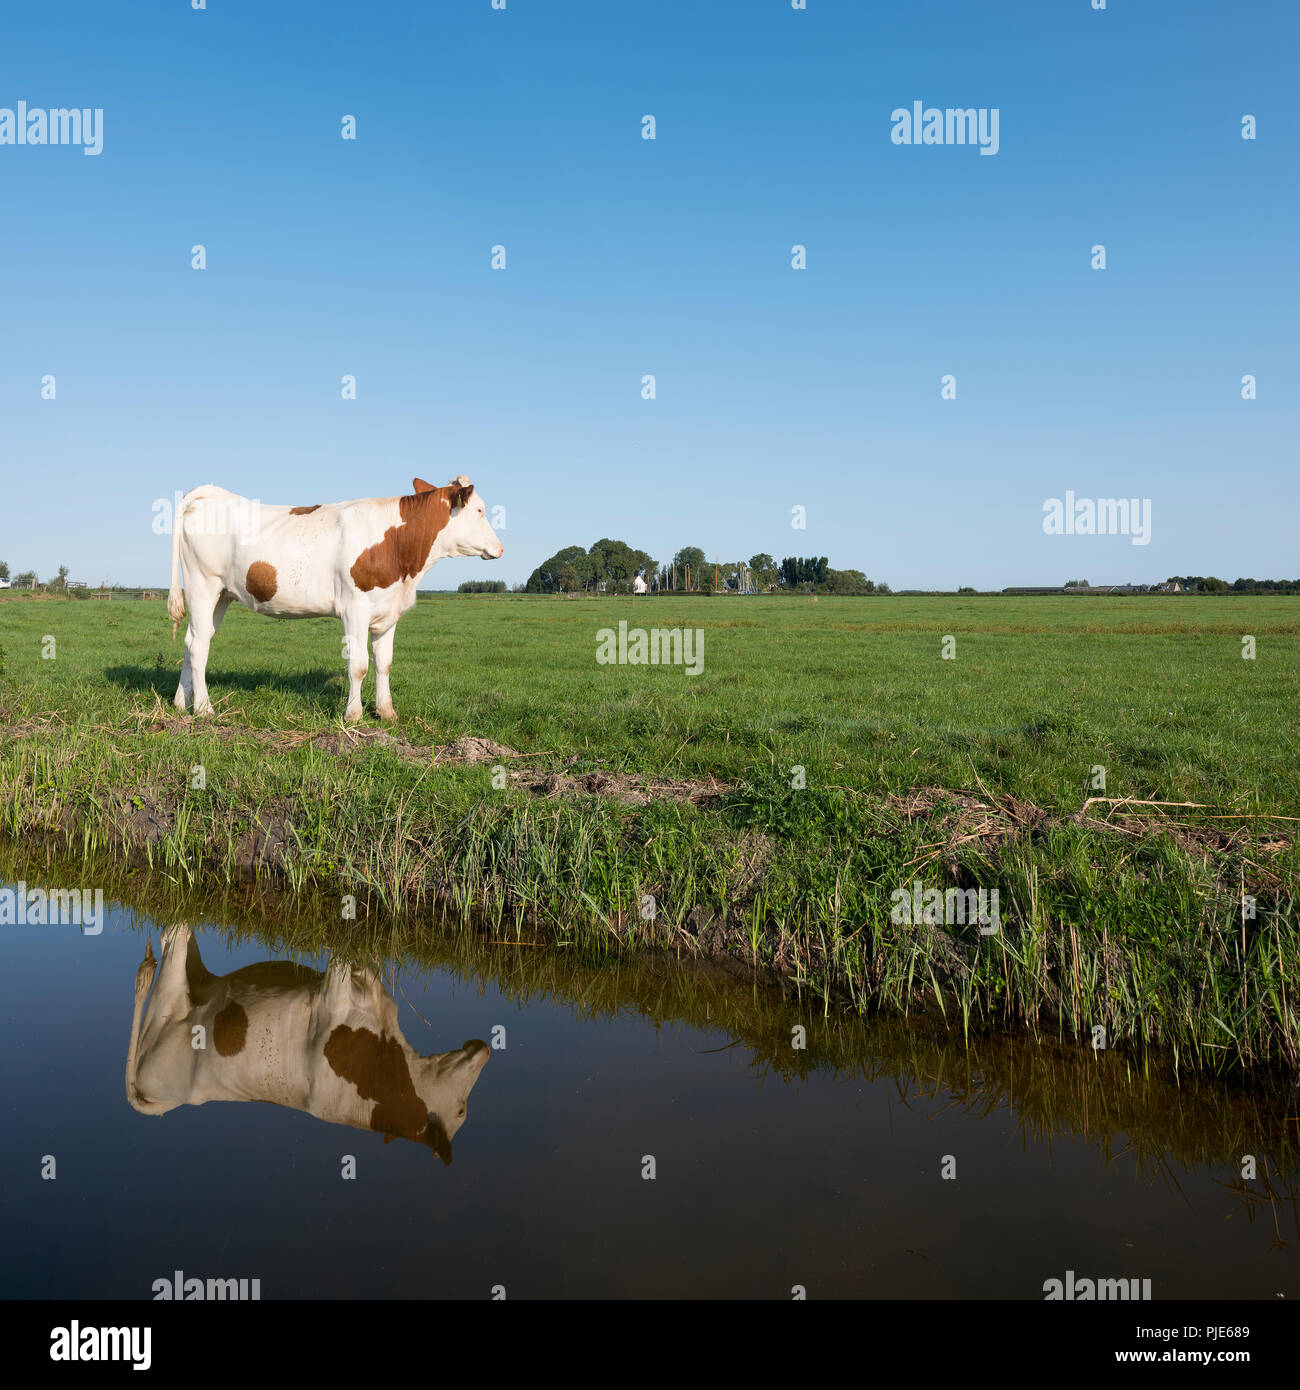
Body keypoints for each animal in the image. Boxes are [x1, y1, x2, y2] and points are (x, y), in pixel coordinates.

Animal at [125, 925, 489, 1162]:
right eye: (462, 1110)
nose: (486, 1049)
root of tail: (163, 1100)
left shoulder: (369, 984)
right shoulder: (334, 998)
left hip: (196, 978)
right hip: (169, 998)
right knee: (174, 934)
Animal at [166, 475, 504, 720]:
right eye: (480, 510)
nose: (500, 548)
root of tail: (210, 494)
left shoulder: (388, 612)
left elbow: (384, 663)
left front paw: (387, 712)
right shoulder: (355, 607)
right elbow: (359, 664)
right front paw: (353, 715)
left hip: (222, 595)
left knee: (193, 640)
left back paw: (181, 703)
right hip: (202, 585)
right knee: (199, 647)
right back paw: (204, 709)